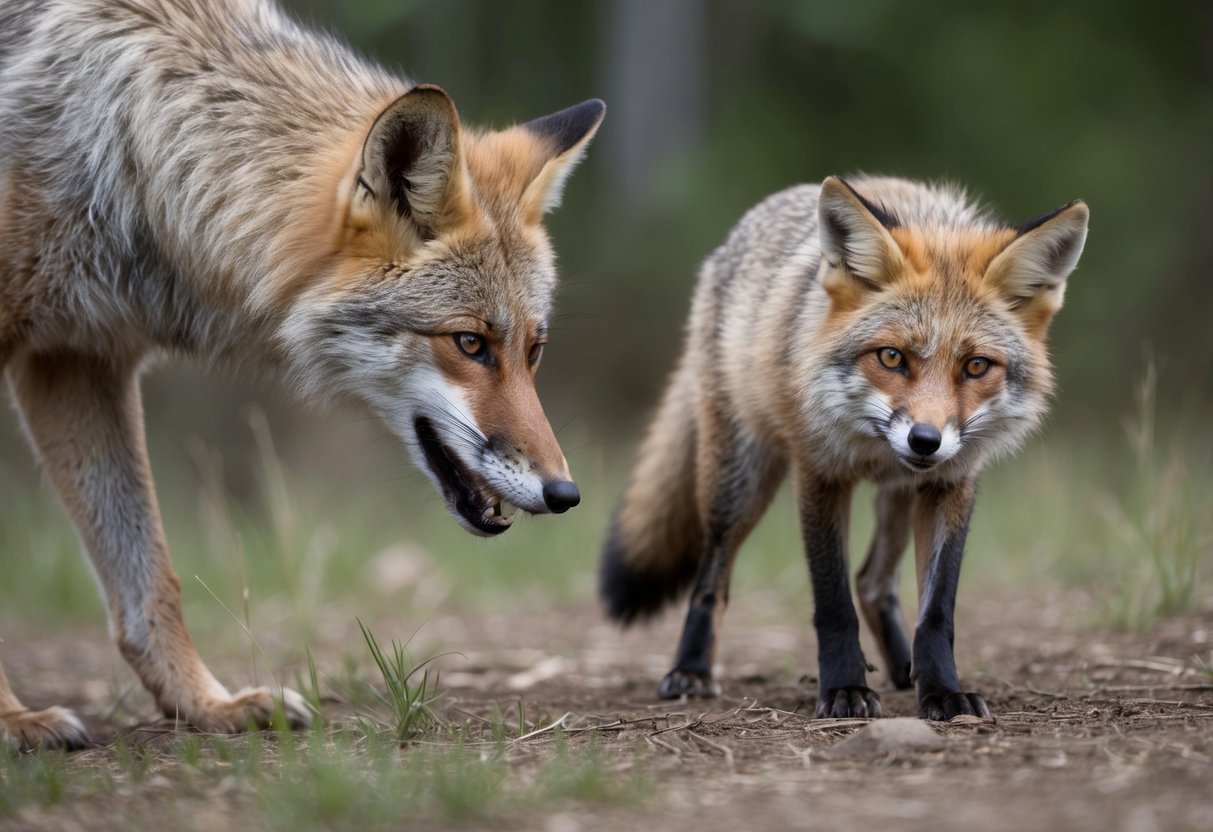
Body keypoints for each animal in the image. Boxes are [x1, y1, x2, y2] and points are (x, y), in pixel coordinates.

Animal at [0, 0, 604, 749]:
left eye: (533, 351)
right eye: (469, 343)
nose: (565, 493)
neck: (120, 149)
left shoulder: (76, 358)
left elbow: (152, 578)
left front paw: (206, 705)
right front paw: (11, 721)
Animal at [600, 175, 1088, 721]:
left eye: (976, 366)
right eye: (892, 357)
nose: (926, 439)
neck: (872, 445)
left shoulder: (951, 482)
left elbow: (935, 612)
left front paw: (942, 691)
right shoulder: (821, 473)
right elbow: (832, 603)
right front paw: (844, 689)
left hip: (898, 498)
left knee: (873, 583)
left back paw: (904, 671)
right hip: (740, 483)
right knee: (712, 577)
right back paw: (690, 670)